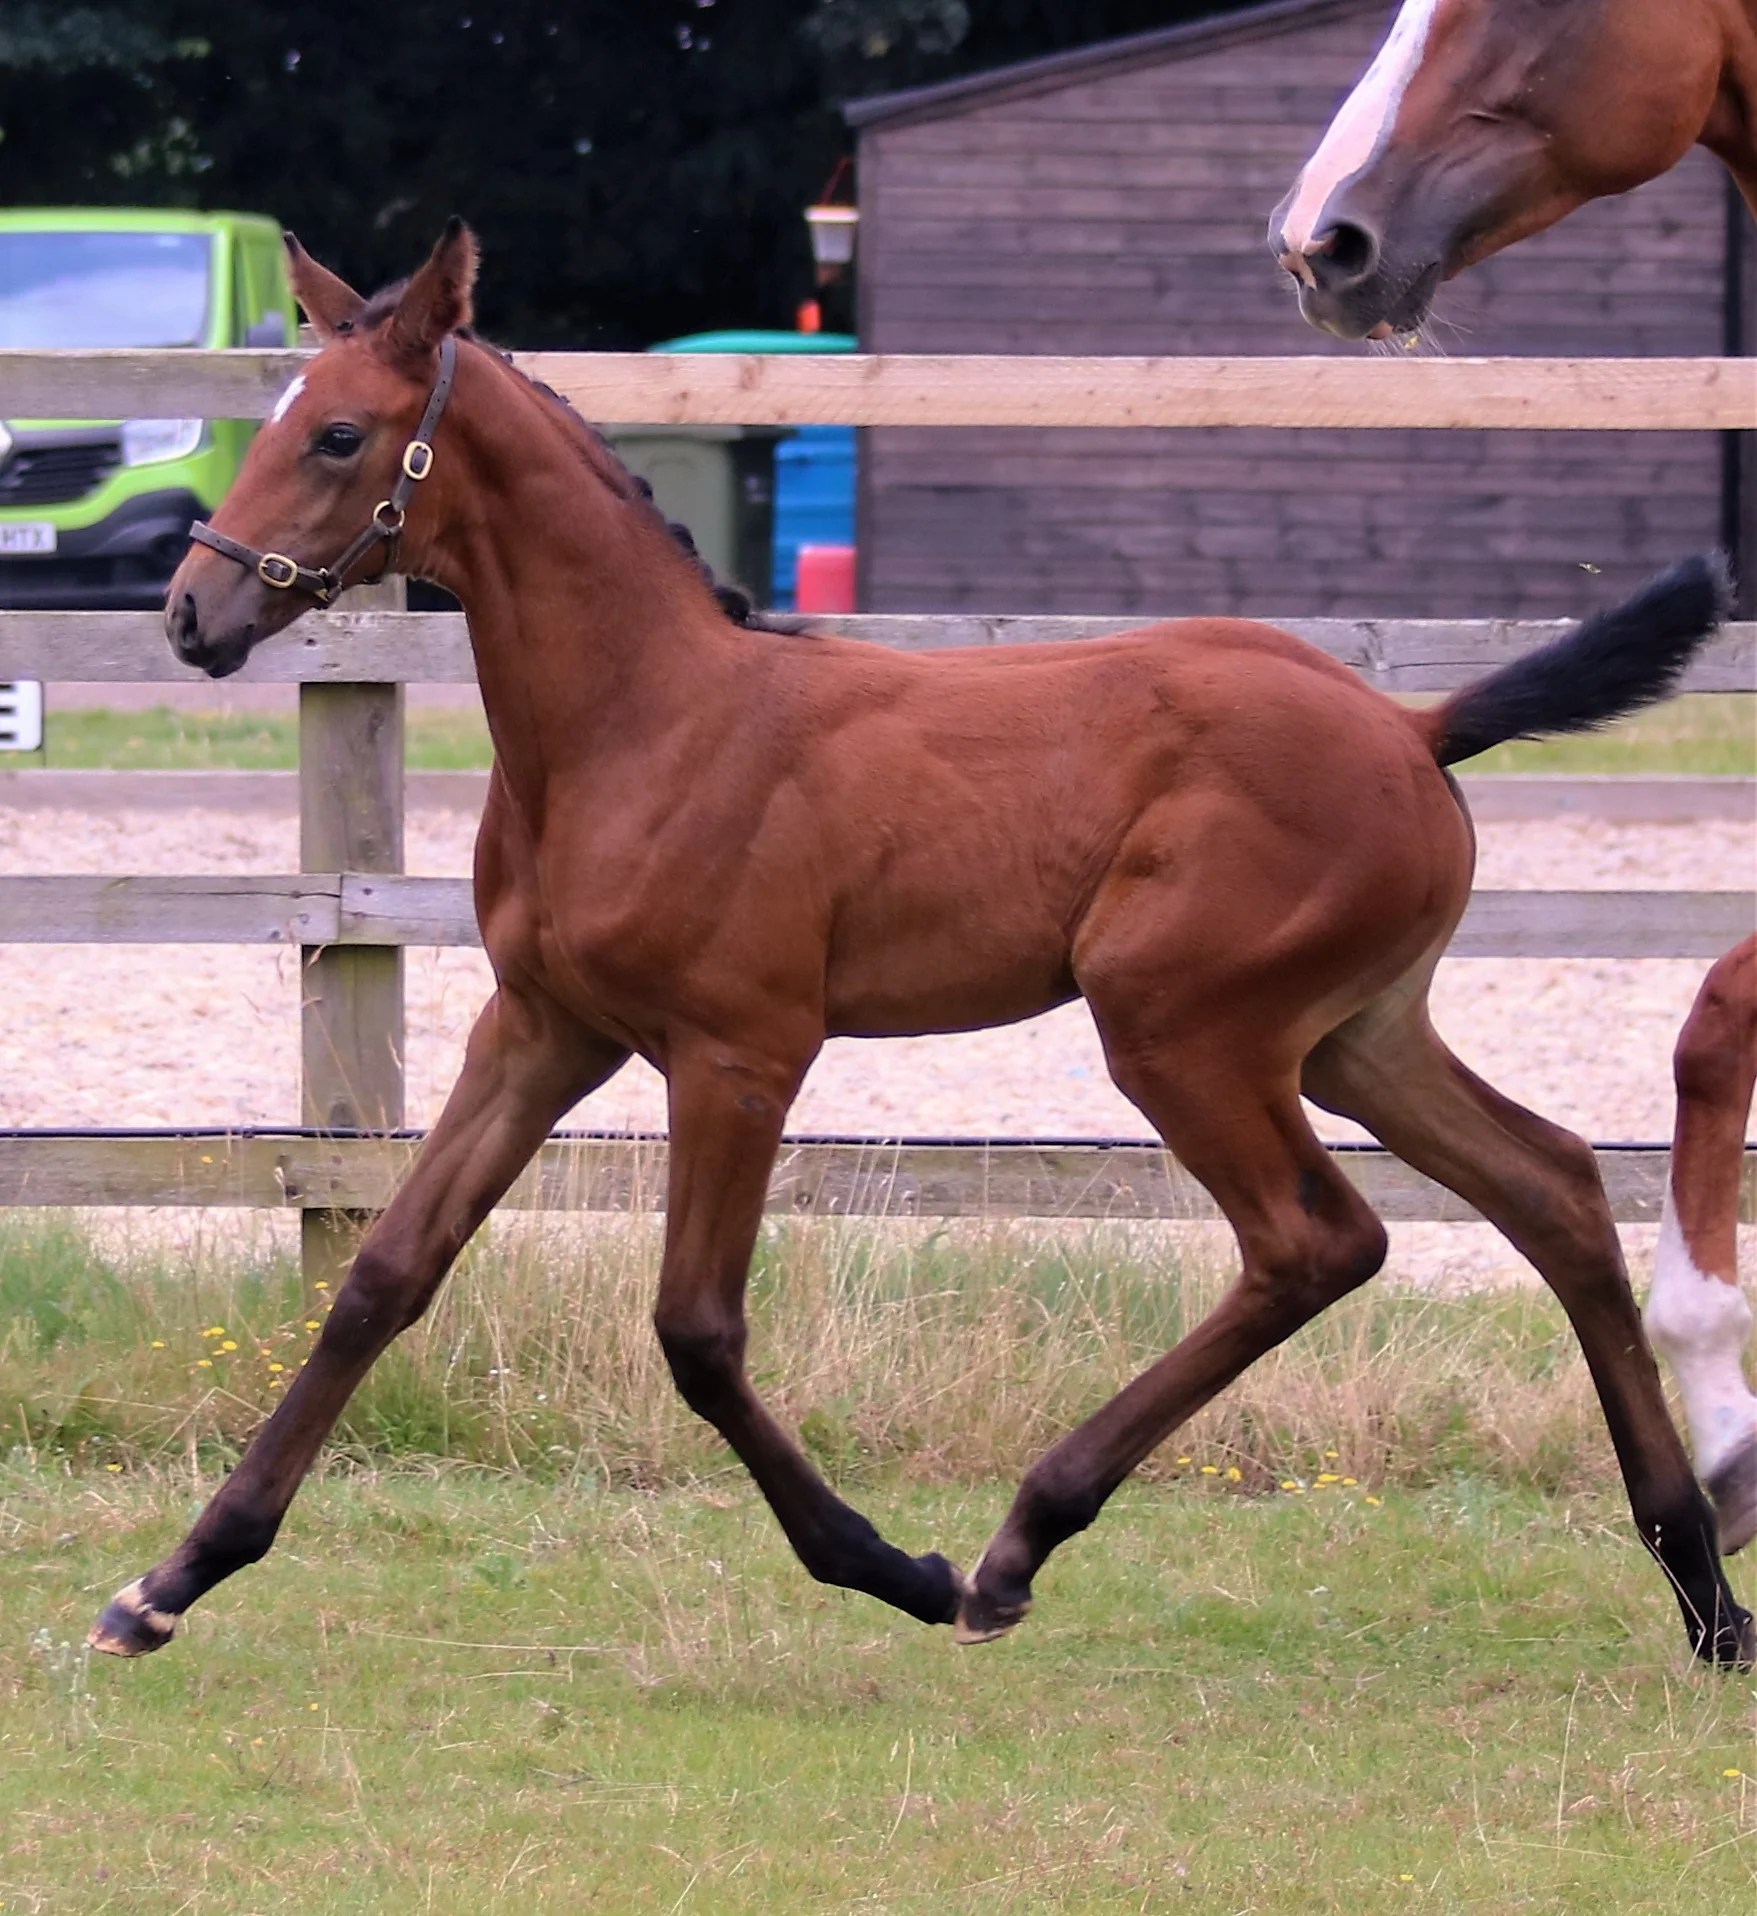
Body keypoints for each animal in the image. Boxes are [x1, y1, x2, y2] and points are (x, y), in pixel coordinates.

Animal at [88, 222, 1754, 1668]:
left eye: (338, 437)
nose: (188, 613)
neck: (644, 721)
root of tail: (1414, 726)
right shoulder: (542, 1026)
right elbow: (384, 1274)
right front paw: (170, 1580)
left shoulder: (740, 1050)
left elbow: (695, 1330)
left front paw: (889, 1563)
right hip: (1355, 1032)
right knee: (1549, 1189)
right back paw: (1701, 1587)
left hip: (1179, 1022)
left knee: (1319, 1241)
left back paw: (1019, 1540)